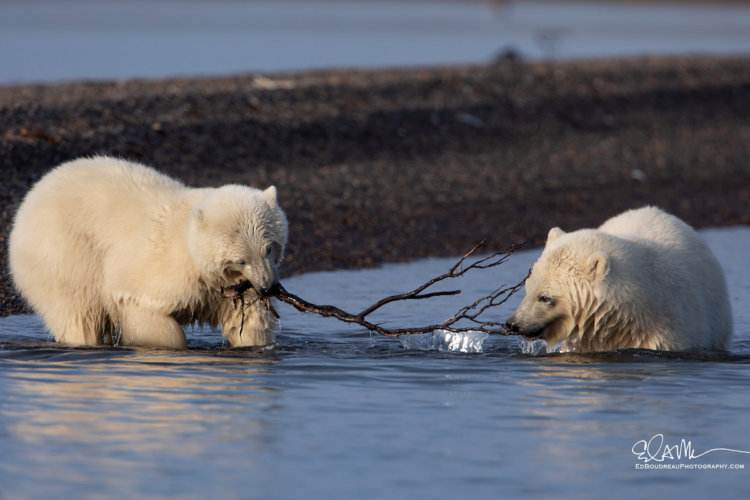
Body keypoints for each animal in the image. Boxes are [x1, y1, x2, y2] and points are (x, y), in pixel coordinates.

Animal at [8, 156, 288, 349]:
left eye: (269, 247)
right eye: (240, 259)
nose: (268, 287)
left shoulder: (228, 288)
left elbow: (248, 321)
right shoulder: (161, 266)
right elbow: (144, 305)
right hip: (64, 254)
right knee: (78, 313)